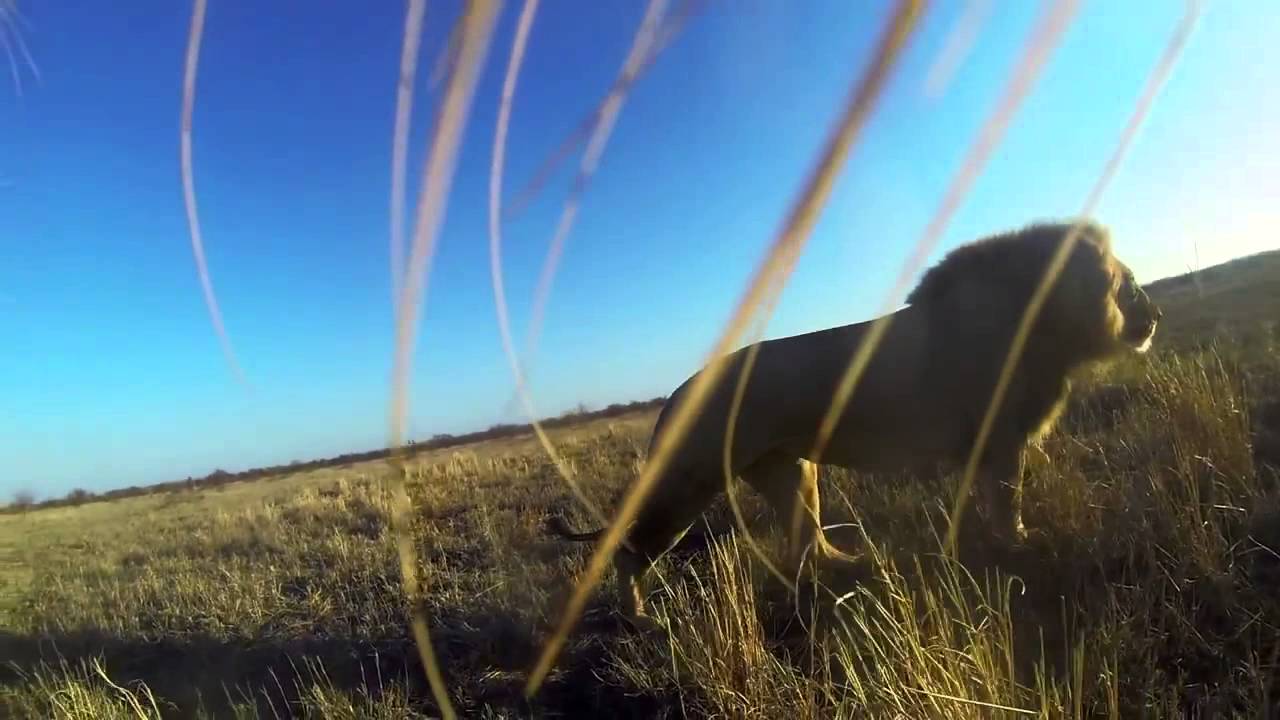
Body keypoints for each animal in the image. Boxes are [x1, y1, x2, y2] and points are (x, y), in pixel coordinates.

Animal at [548, 219, 1162, 623]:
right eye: (1128, 282)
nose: (1155, 314)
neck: (1049, 322)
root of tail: (676, 394)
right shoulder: (1001, 442)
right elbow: (1007, 507)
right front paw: (1020, 550)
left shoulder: (984, 450)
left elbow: (987, 506)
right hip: (688, 483)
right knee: (630, 551)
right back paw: (641, 619)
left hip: (791, 472)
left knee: (807, 544)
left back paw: (853, 569)